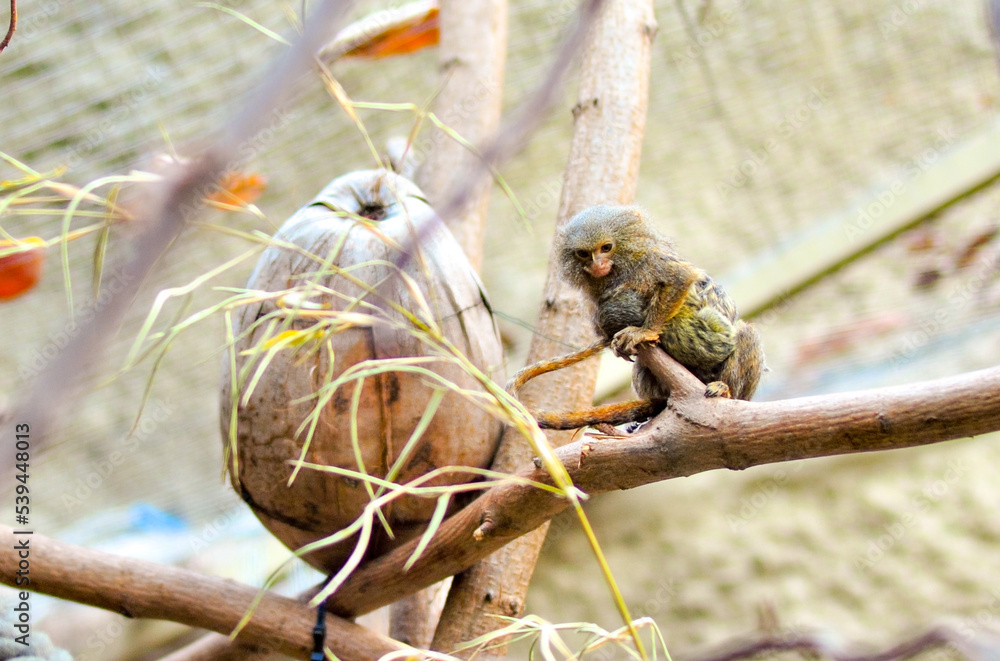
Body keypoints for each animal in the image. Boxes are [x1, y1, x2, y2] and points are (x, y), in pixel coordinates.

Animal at [507, 205, 764, 431]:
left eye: (606, 247)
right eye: (583, 254)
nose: (598, 264)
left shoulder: (651, 260)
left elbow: (680, 277)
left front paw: (646, 331)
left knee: (745, 333)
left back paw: (725, 389)